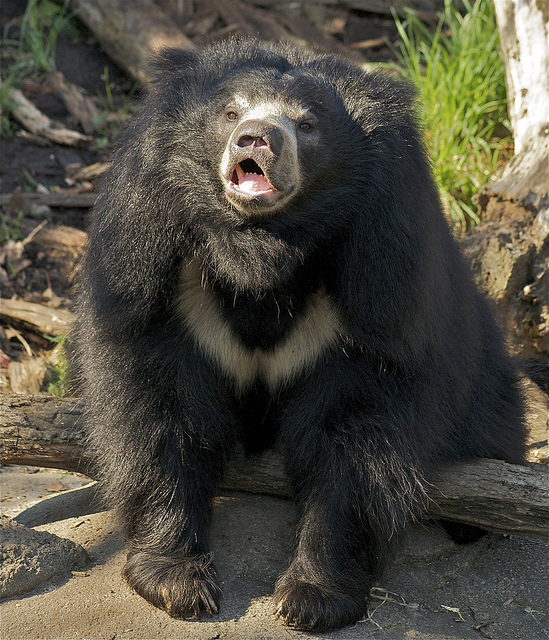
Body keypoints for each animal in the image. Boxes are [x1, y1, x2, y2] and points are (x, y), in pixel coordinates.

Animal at [75, 39, 526, 632]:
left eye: (307, 124)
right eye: (231, 113)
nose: (256, 138)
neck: (260, 248)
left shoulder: (381, 273)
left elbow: (353, 439)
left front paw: (312, 597)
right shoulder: (148, 257)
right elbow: (161, 407)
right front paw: (177, 581)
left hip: (484, 385)